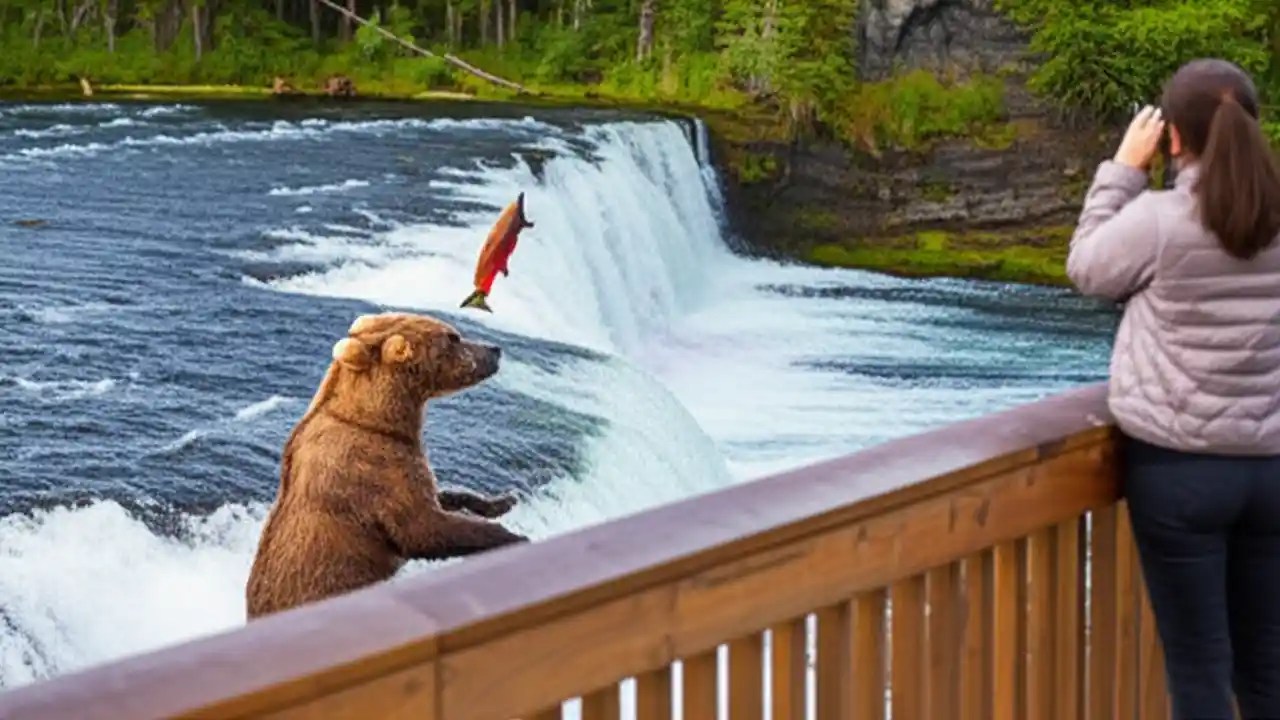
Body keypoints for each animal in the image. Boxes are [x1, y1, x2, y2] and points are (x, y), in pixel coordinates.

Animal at [245, 311, 528, 619]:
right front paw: (515, 537)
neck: (377, 421)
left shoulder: (399, 468)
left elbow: (440, 497)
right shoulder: (369, 472)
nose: (494, 350)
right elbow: (423, 527)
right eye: (453, 337)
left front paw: (503, 500)